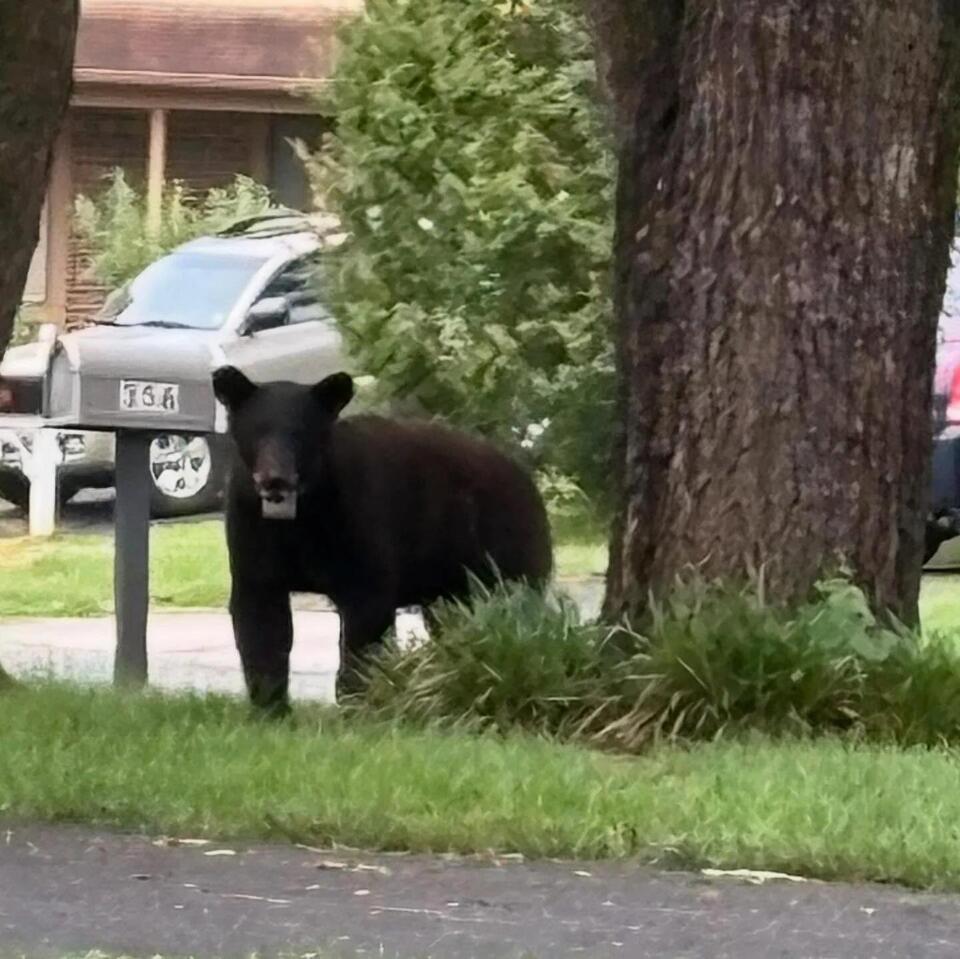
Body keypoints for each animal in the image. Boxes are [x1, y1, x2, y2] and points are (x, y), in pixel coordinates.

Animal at [212, 366, 553, 716]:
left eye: (300, 433)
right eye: (257, 430)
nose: (275, 479)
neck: (302, 513)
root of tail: (525, 478)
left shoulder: (360, 521)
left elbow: (366, 613)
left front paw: (356, 700)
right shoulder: (252, 530)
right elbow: (261, 616)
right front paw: (270, 707)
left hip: (504, 545)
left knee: (514, 600)